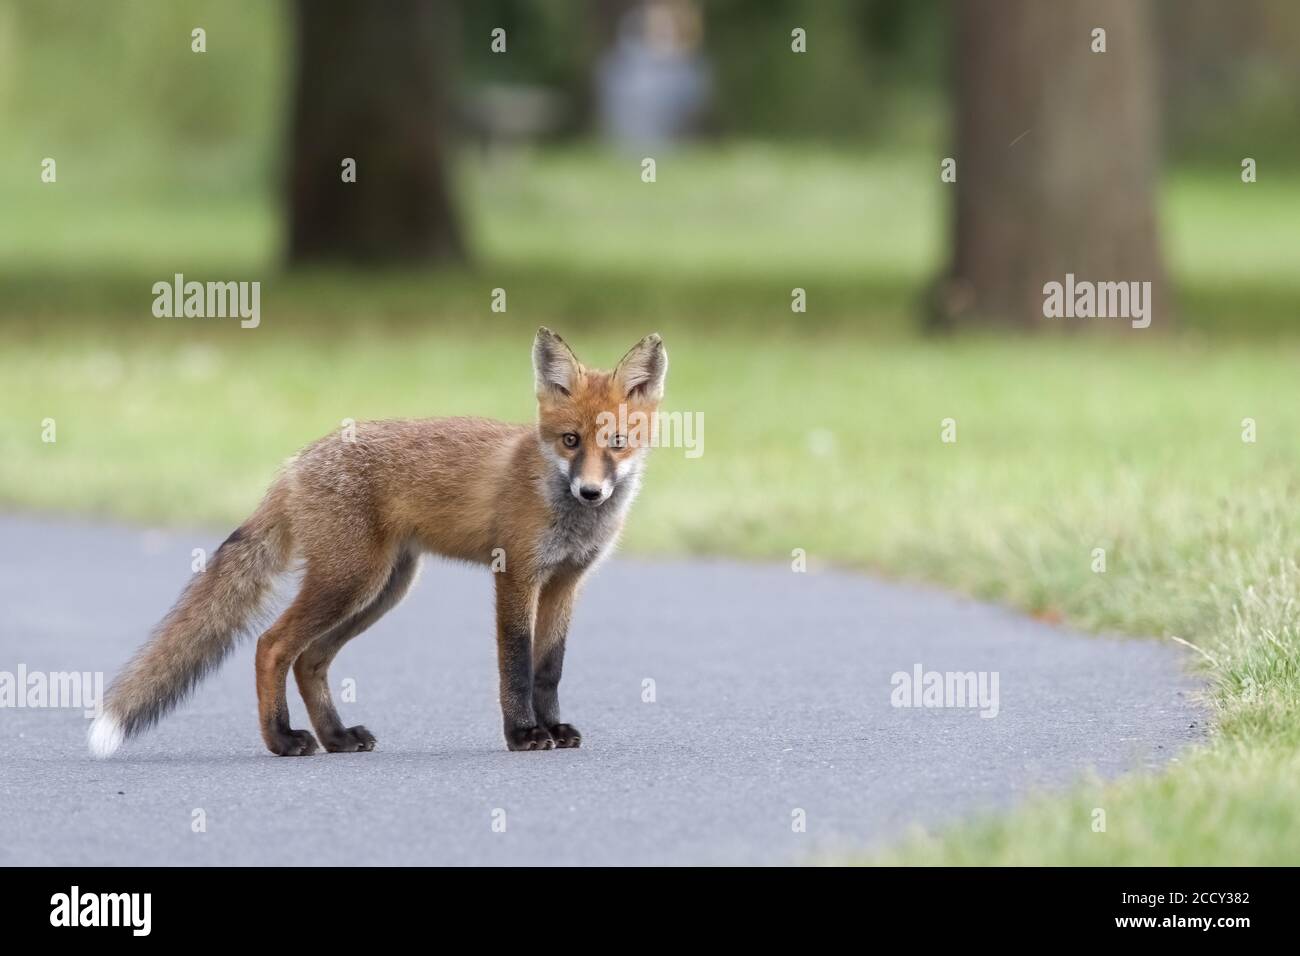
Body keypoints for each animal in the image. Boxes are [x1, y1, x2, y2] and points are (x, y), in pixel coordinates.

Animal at [88, 328, 667, 757]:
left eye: (617, 442)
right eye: (570, 441)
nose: (590, 492)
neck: (563, 506)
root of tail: (294, 463)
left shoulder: (566, 581)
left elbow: (549, 668)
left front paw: (553, 729)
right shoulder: (516, 575)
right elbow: (517, 665)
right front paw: (523, 734)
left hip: (383, 590)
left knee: (309, 659)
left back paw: (336, 737)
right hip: (351, 581)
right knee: (272, 646)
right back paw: (282, 740)